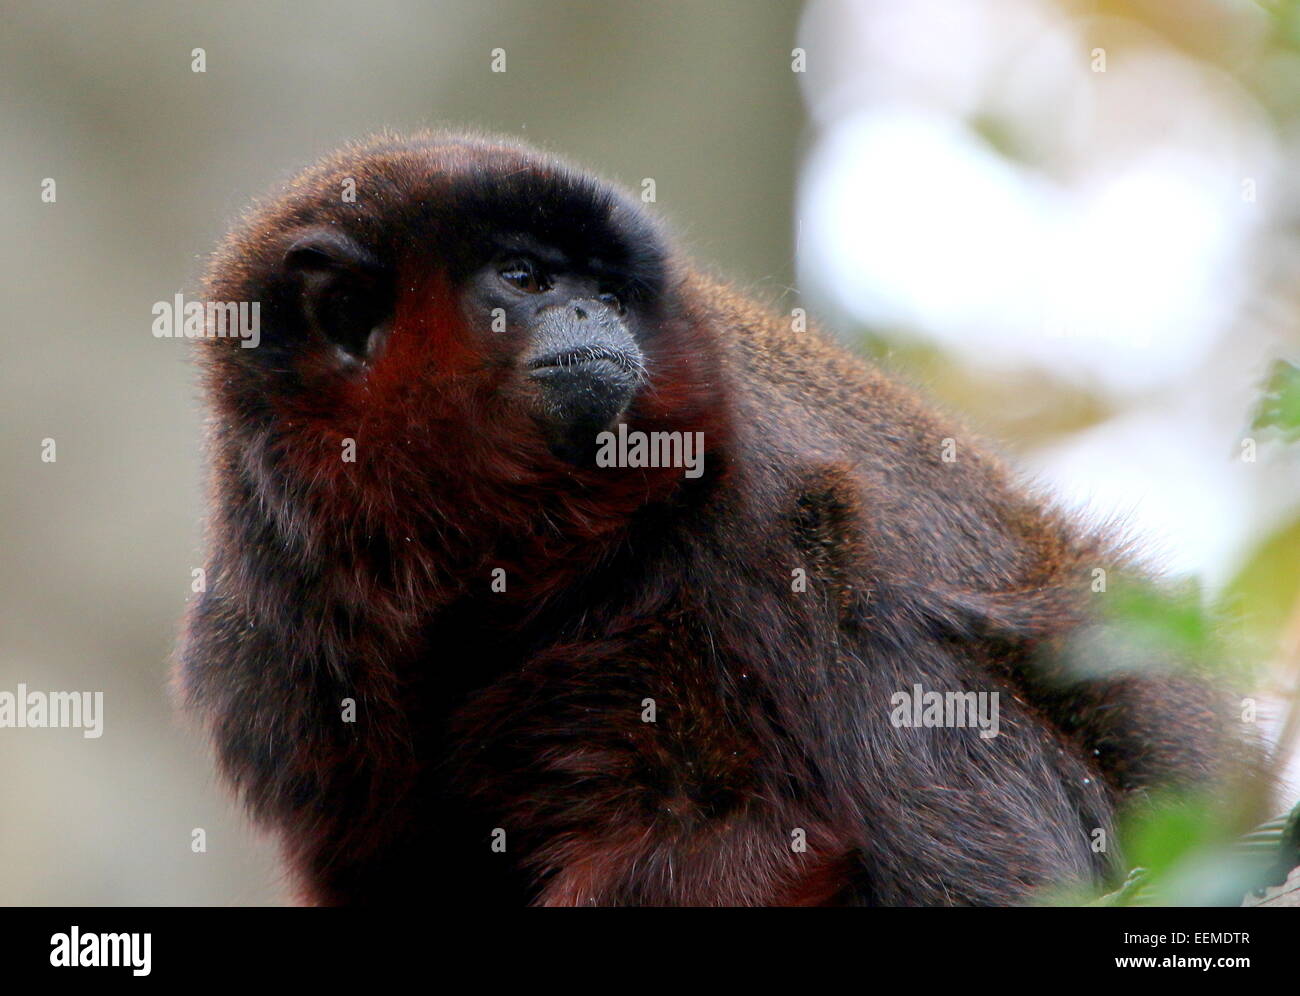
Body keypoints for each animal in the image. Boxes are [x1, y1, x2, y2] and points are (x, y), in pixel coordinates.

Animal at [177, 131, 1235, 906]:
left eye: (607, 290)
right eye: (525, 278)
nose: (598, 318)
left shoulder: (752, 525)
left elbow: (769, 836)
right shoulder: (279, 641)